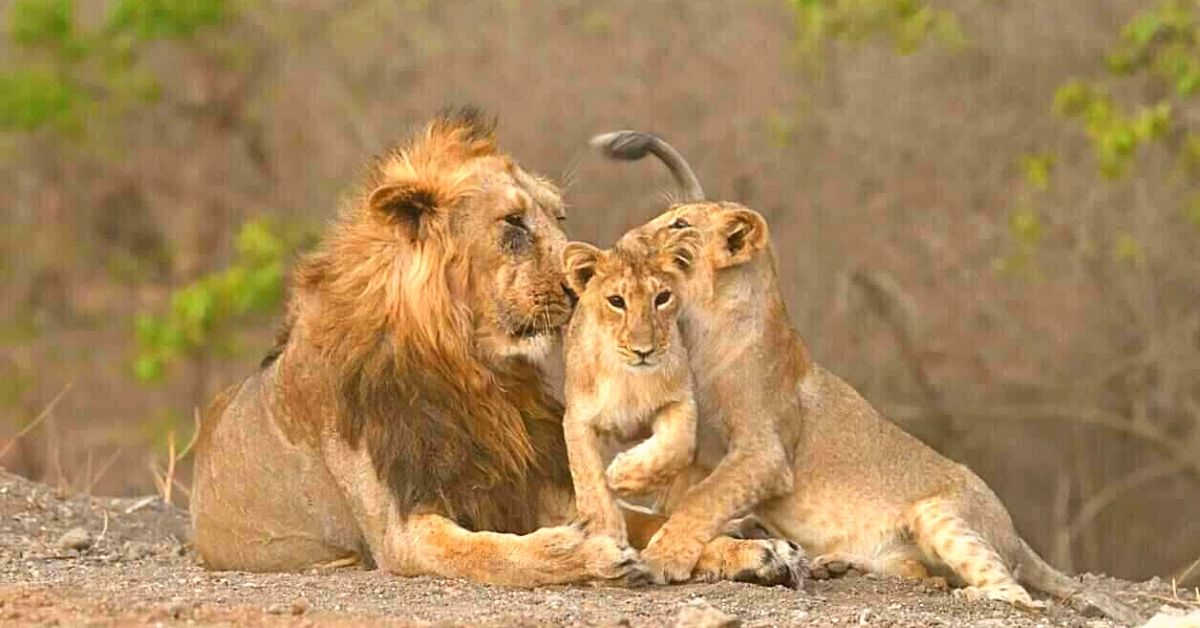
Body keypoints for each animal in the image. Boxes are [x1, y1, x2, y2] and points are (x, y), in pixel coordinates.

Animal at [560, 229, 702, 545]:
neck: (629, 381)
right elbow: (588, 476)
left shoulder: (679, 400)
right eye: (616, 301)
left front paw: (623, 476)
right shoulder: (577, 418)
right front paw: (606, 532)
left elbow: (678, 446)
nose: (643, 351)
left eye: (662, 298)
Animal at [591, 131, 1143, 623]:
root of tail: (1013, 531)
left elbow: (703, 500)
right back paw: (831, 562)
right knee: (926, 574)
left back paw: (969, 594)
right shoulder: (688, 432)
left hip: (941, 515)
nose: (626, 239)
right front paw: (629, 475)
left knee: (1013, 592)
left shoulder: (764, 453)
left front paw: (661, 556)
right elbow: (674, 467)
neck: (701, 322)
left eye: (679, 224)